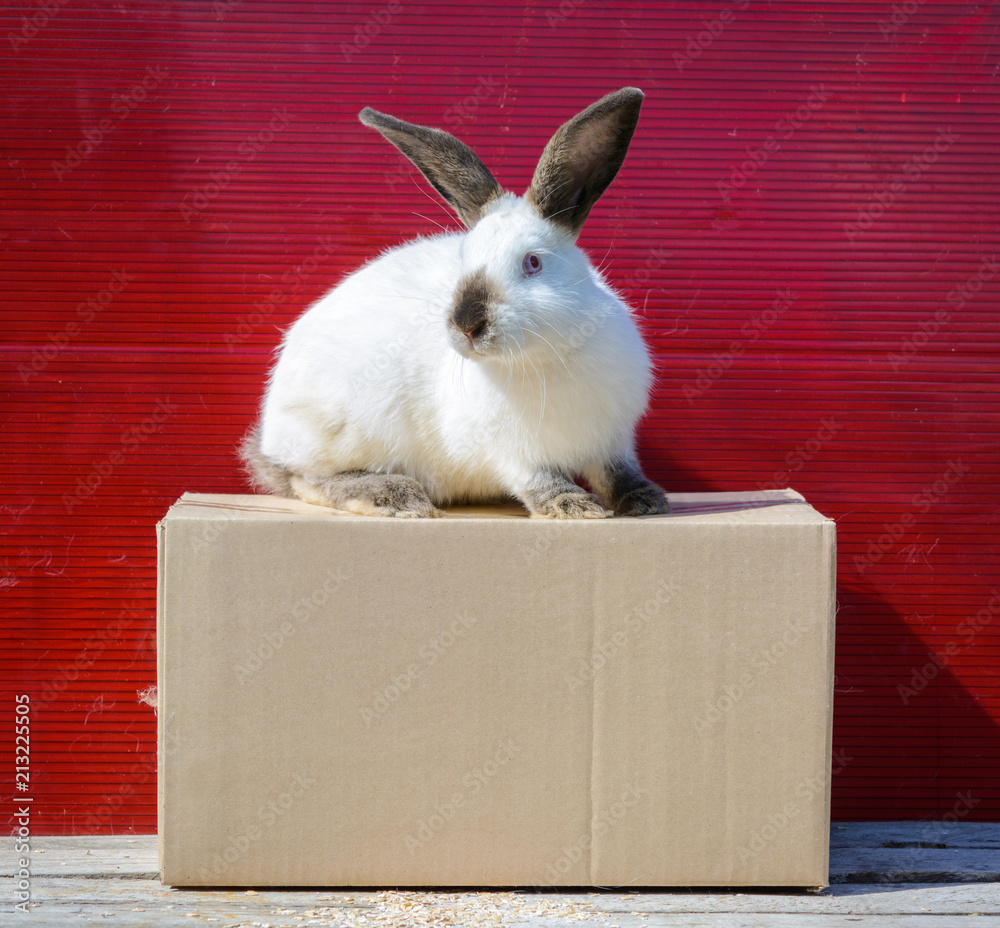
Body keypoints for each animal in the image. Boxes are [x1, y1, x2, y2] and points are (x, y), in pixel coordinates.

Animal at [241, 87, 669, 519]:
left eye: (532, 262)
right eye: (463, 257)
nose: (466, 324)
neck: (551, 356)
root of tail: (269, 440)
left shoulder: (613, 441)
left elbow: (617, 472)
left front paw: (647, 500)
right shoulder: (514, 453)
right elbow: (538, 479)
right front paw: (573, 505)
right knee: (307, 480)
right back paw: (392, 495)